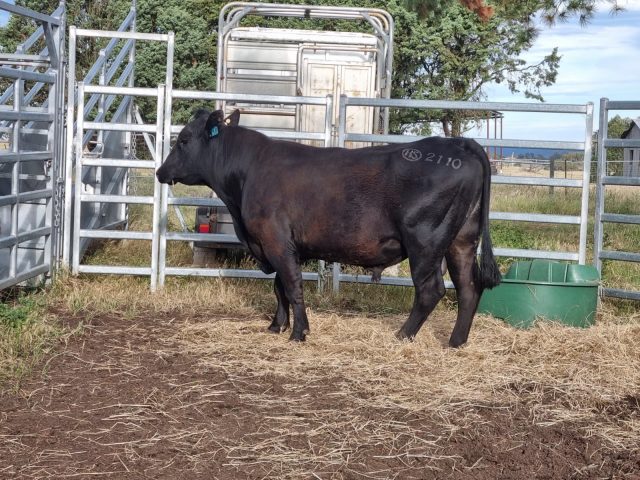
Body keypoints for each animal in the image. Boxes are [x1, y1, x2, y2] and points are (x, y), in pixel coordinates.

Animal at [156, 109, 501, 347]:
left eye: (183, 140)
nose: (160, 172)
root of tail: (457, 144)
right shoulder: (281, 245)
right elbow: (279, 287)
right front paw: (276, 326)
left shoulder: (276, 240)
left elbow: (292, 285)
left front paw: (298, 333)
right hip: (461, 240)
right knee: (468, 288)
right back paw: (456, 342)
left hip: (425, 241)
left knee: (432, 290)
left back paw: (403, 334)